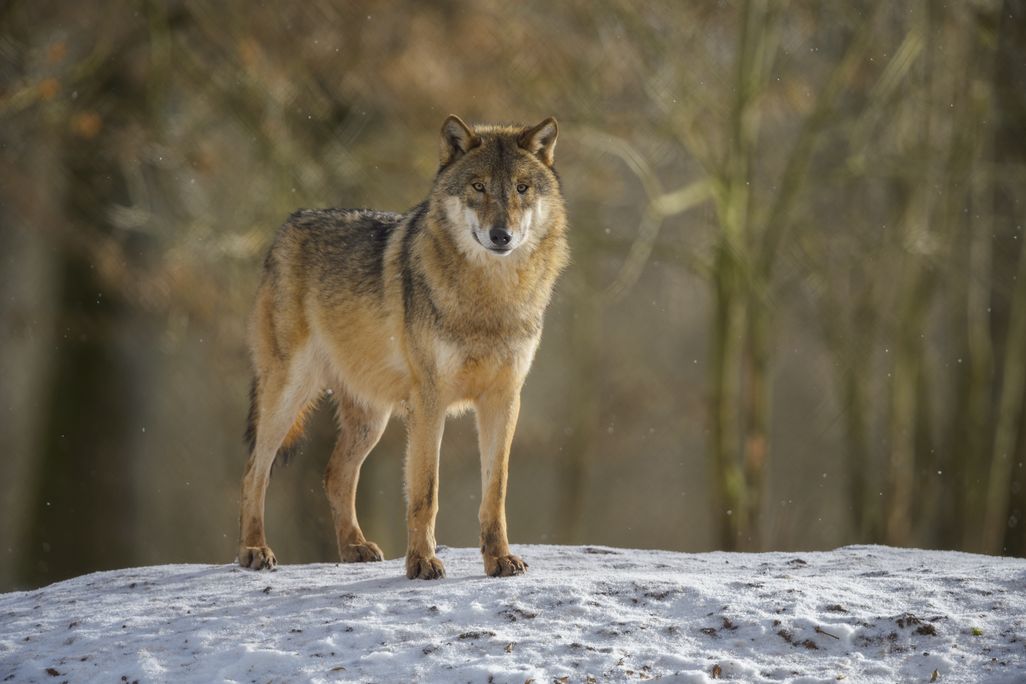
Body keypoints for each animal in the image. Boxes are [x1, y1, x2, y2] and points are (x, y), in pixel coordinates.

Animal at [238, 115, 568, 579]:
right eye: (478, 186)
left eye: (521, 188)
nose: (501, 235)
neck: (489, 299)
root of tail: (289, 223)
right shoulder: (429, 401)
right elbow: (425, 492)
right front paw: (422, 562)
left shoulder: (504, 399)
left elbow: (495, 491)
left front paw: (499, 559)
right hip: (288, 395)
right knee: (255, 470)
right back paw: (254, 550)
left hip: (371, 418)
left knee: (335, 475)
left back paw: (354, 547)